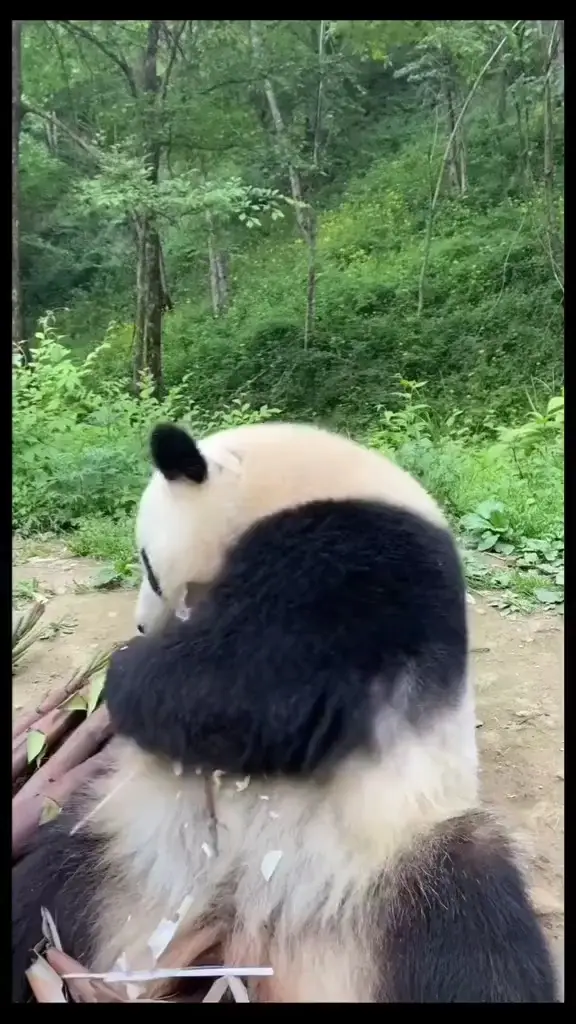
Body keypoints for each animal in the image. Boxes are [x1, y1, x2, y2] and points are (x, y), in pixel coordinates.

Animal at [12, 421, 558, 1002]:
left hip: (403, 860)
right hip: (117, 847)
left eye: (150, 569)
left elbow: (255, 688)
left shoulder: (363, 558)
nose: (140, 626)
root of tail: (242, 937)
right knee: (42, 890)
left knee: (477, 935)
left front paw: (127, 671)